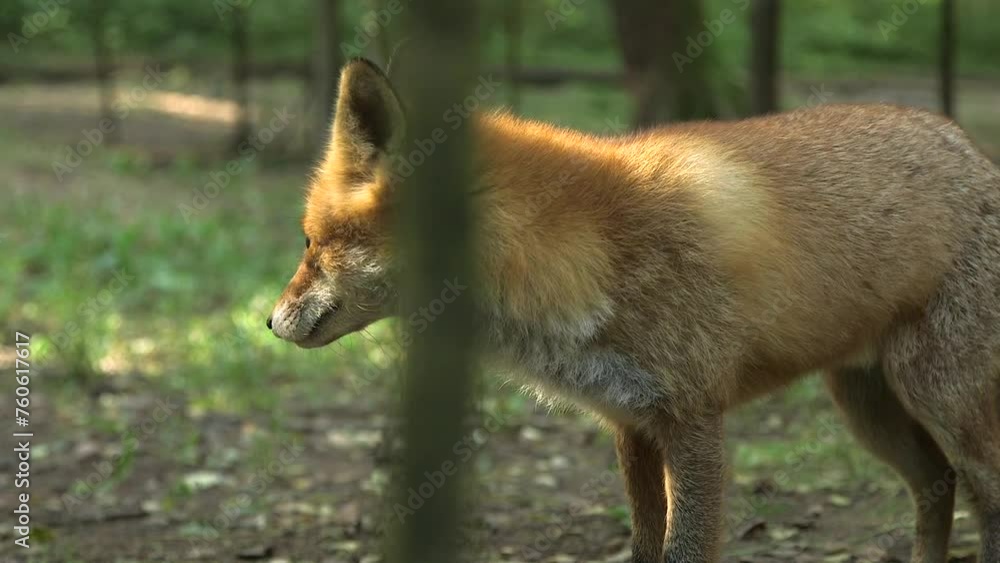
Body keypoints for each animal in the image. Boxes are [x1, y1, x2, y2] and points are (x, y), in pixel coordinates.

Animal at [268, 58, 1000, 563]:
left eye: (308, 240)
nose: (269, 323)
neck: (581, 252)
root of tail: (968, 146)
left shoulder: (695, 419)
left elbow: (684, 548)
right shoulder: (632, 419)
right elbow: (647, 548)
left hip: (940, 399)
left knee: (983, 492)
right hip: (867, 406)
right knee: (936, 486)